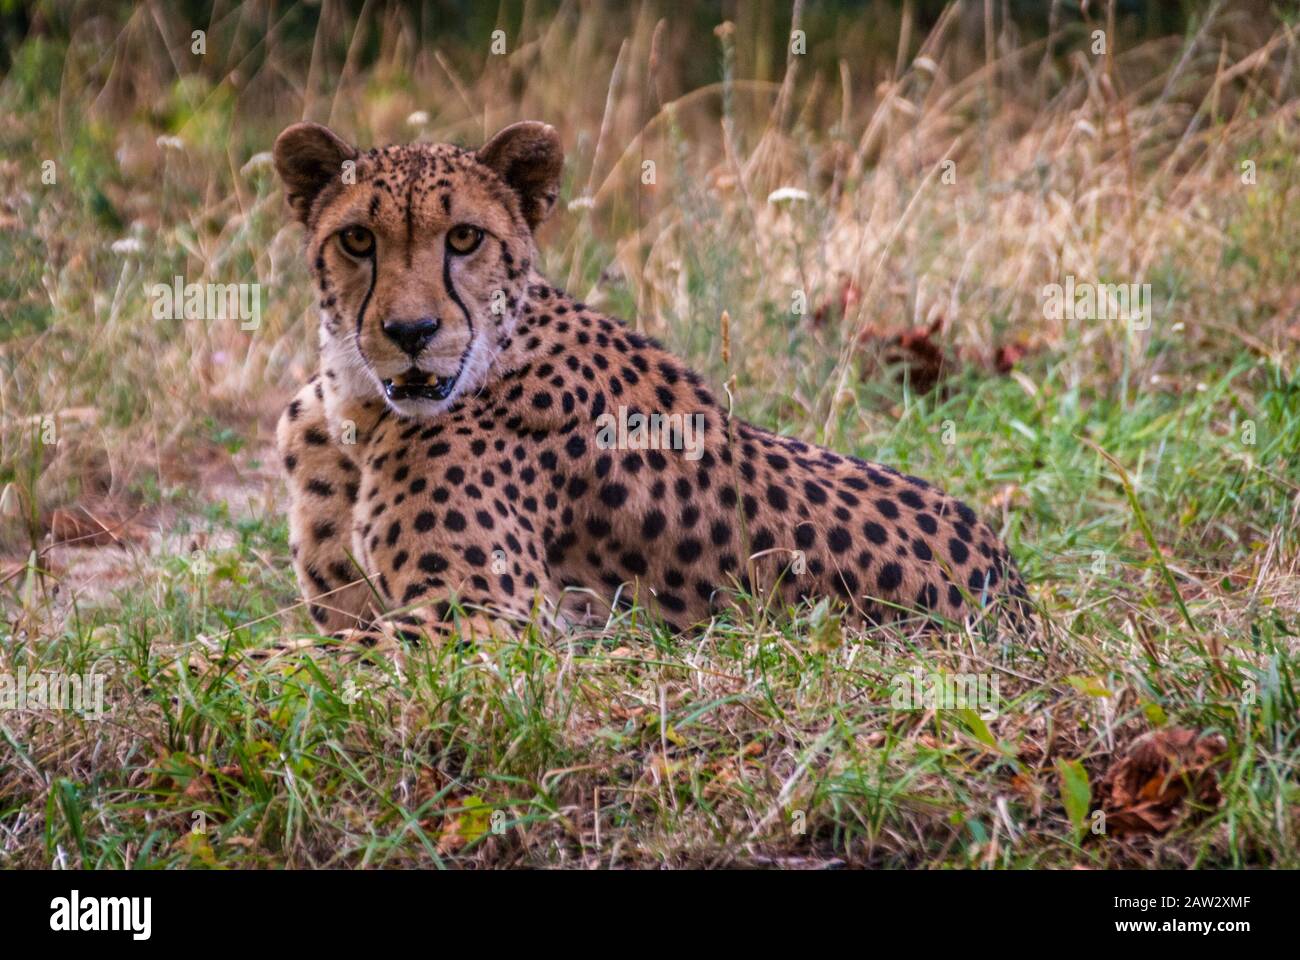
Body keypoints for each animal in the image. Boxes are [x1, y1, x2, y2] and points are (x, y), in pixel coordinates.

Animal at [271, 119, 1031, 653]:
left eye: (464, 238)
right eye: (357, 240)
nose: (412, 330)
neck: (354, 406)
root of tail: (1021, 599)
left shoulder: (487, 618)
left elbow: (274, 661)